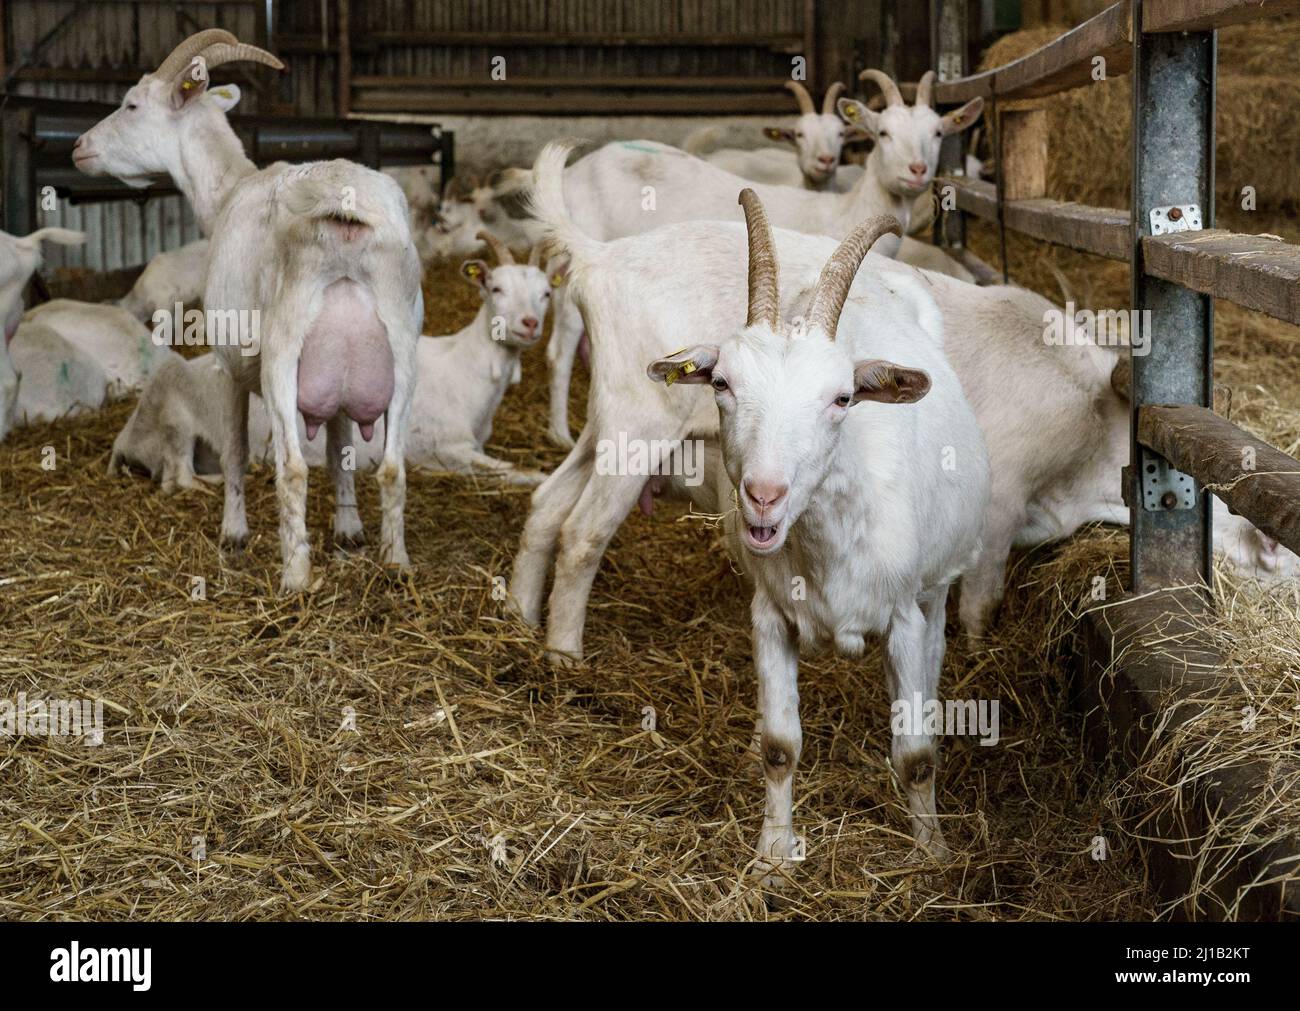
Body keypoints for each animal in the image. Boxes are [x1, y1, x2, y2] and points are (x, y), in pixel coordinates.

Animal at [74, 30, 423, 591]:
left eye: (131, 104)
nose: (79, 147)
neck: (227, 192)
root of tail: (344, 209)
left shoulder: (229, 365)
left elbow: (235, 448)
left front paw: (233, 533)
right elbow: (341, 447)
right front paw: (348, 530)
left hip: (283, 353)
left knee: (293, 469)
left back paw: (295, 577)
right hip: (402, 347)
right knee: (392, 467)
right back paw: (395, 563)